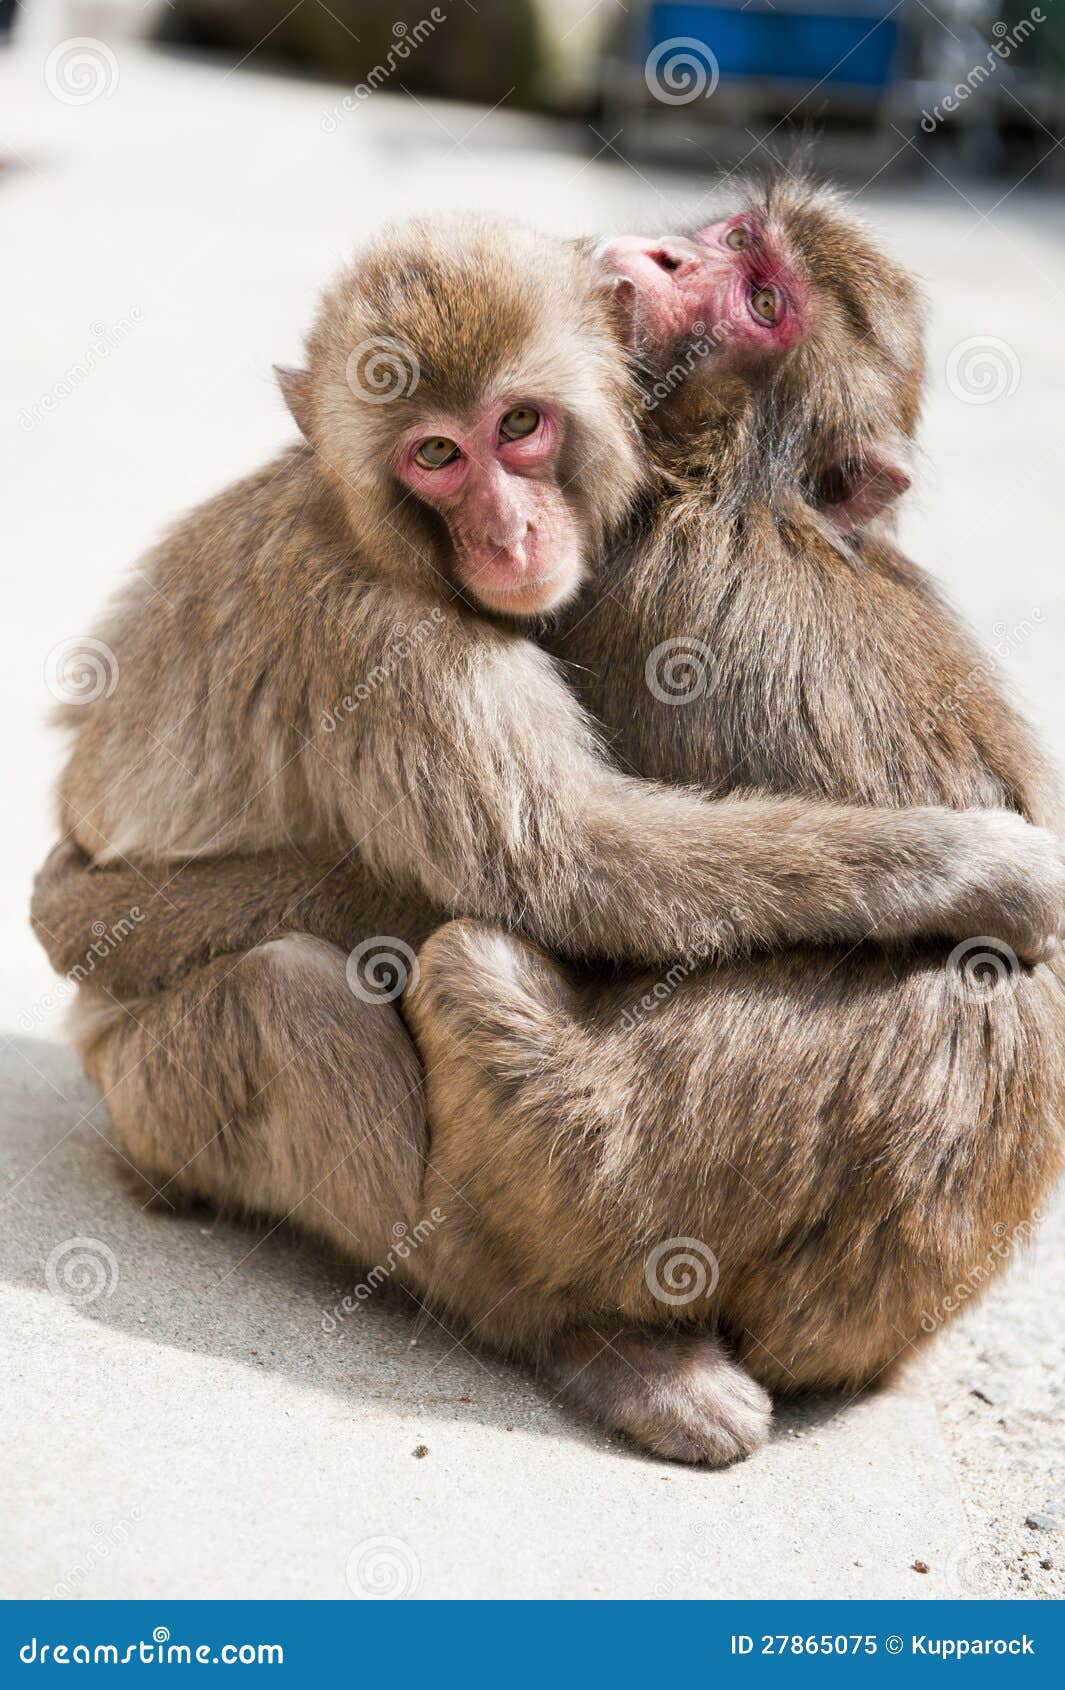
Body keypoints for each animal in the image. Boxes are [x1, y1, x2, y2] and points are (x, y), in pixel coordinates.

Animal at [30, 197, 1065, 1465]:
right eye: (436, 455)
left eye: (518, 428)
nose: (510, 529)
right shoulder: (395, 638)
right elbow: (569, 863)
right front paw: (990, 870)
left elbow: (566, 867)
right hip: (214, 1096)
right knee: (302, 991)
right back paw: (571, 1338)